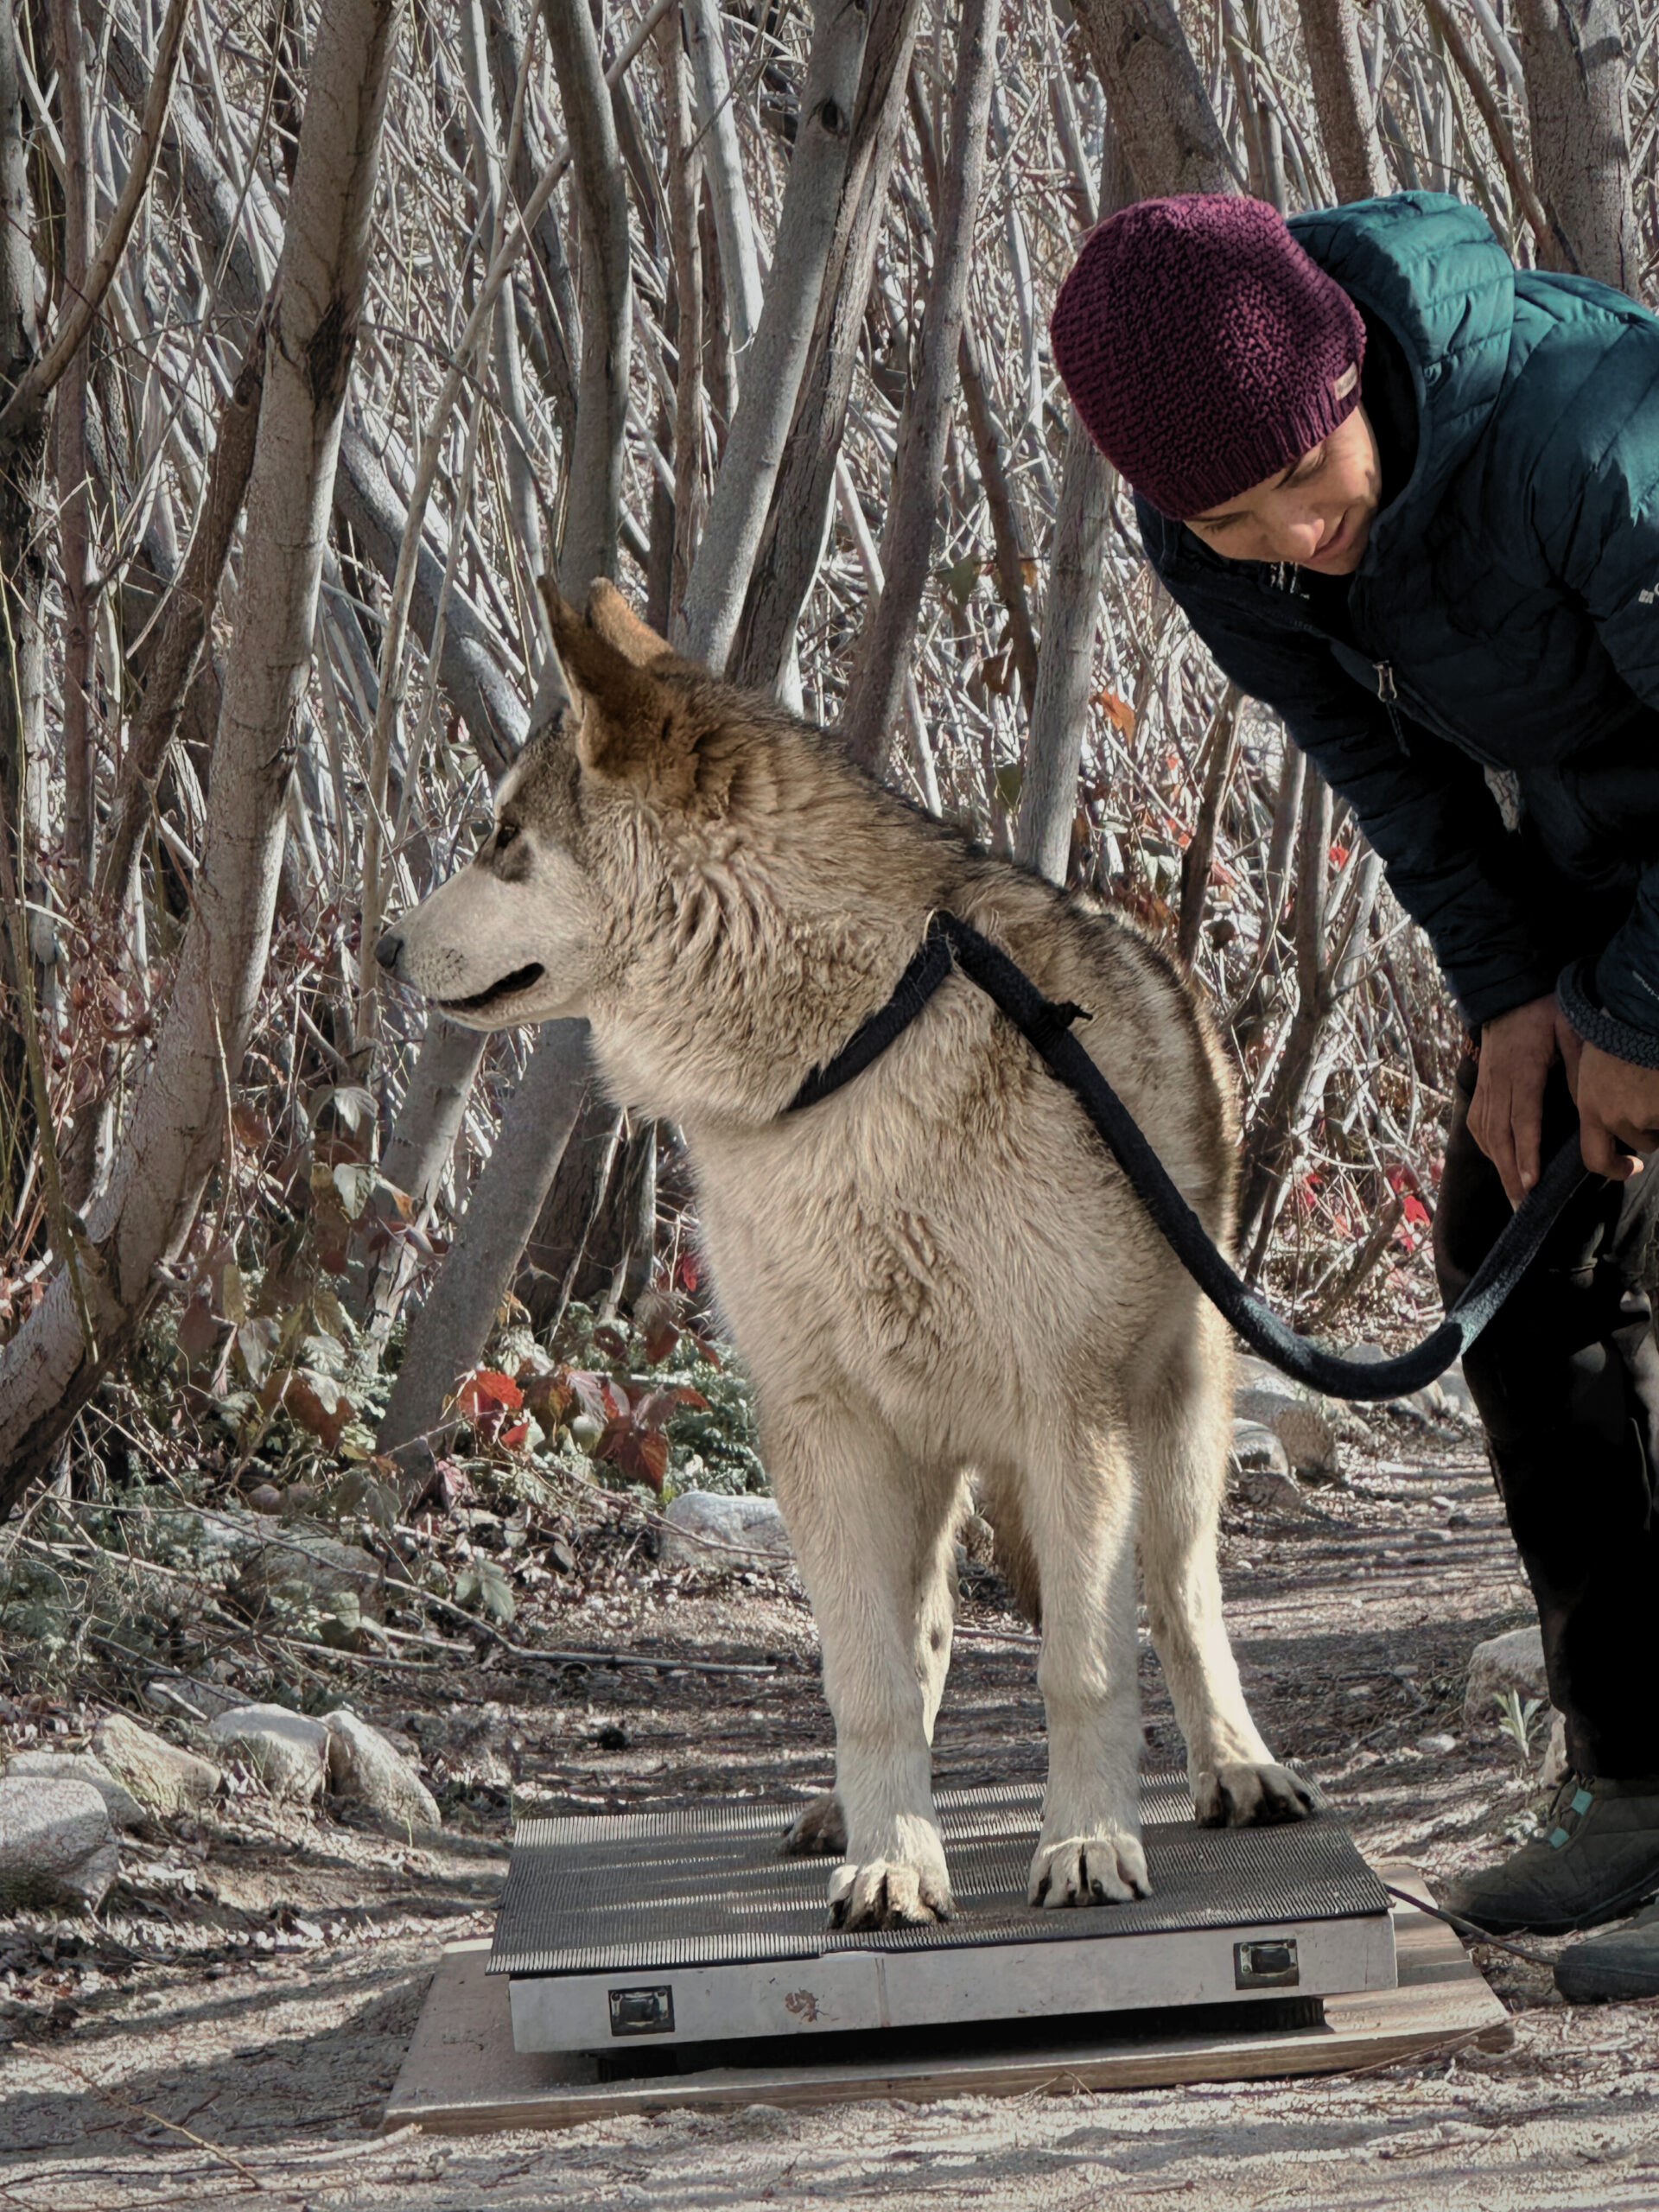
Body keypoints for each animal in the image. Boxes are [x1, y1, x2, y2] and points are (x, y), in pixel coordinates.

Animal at [377, 577, 1313, 1930]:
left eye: (505, 838)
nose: (385, 949)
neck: (853, 1057)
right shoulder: (816, 1423)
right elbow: (866, 1683)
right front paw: (893, 1861)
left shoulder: (1064, 1415)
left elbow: (1081, 1669)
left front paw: (1086, 1842)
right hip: (912, 1462)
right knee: (919, 1638)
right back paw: (844, 1817)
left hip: (1170, 1430)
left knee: (1183, 1603)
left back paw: (1236, 1769)